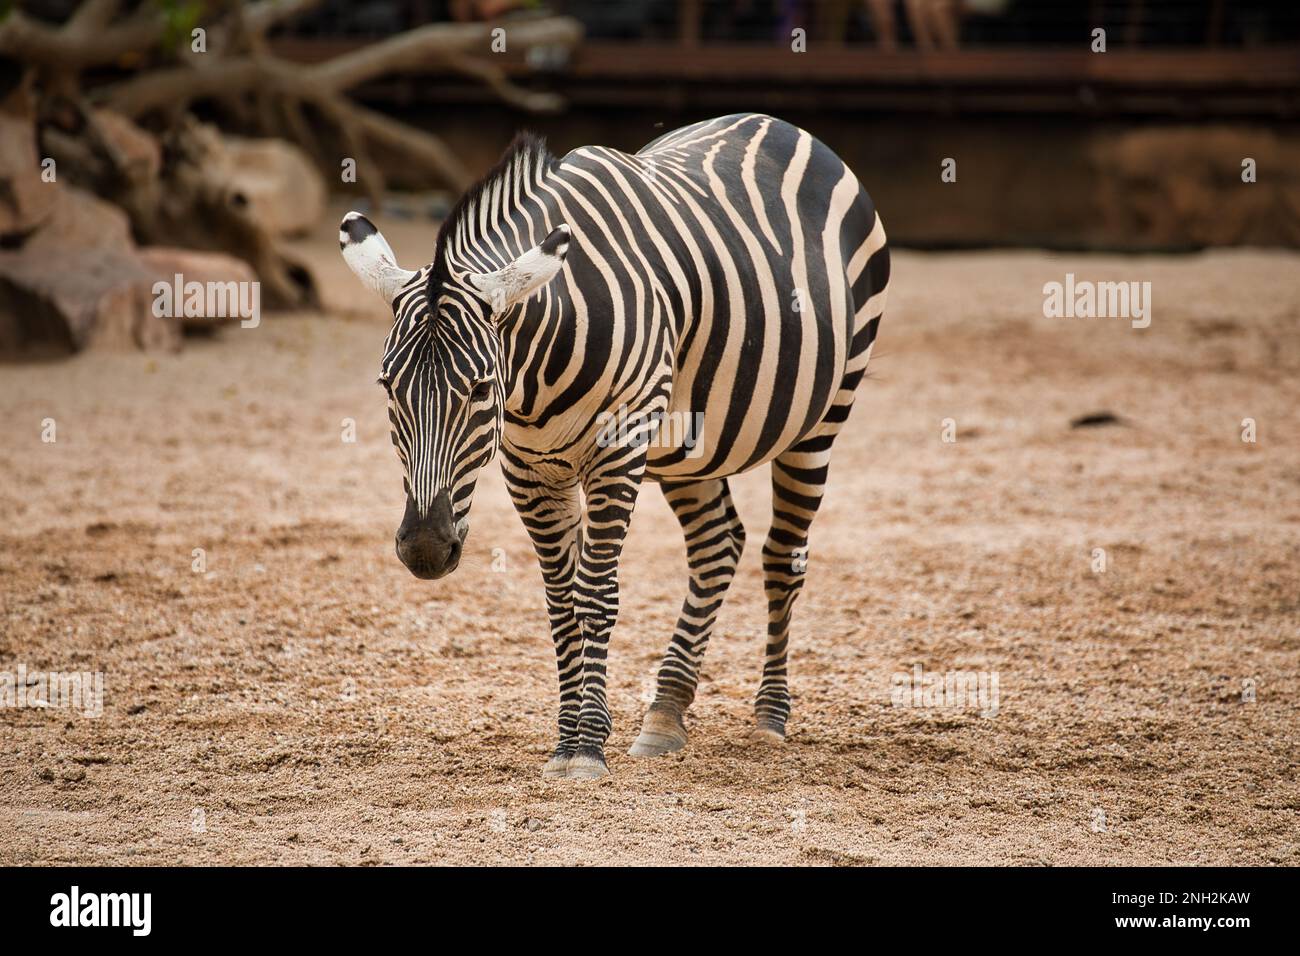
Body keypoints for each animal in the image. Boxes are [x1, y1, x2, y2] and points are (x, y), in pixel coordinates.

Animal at [340, 113, 889, 779]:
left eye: (480, 388)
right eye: (387, 386)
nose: (423, 549)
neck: (535, 371)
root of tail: (779, 124)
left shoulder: (616, 454)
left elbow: (595, 594)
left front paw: (586, 747)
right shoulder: (529, 469)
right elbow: (560, 603)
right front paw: (566, 739)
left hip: (823, 414)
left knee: (784, 557)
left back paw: (769, 716)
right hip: (688, 445)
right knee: (718, 546)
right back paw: (665, 713)